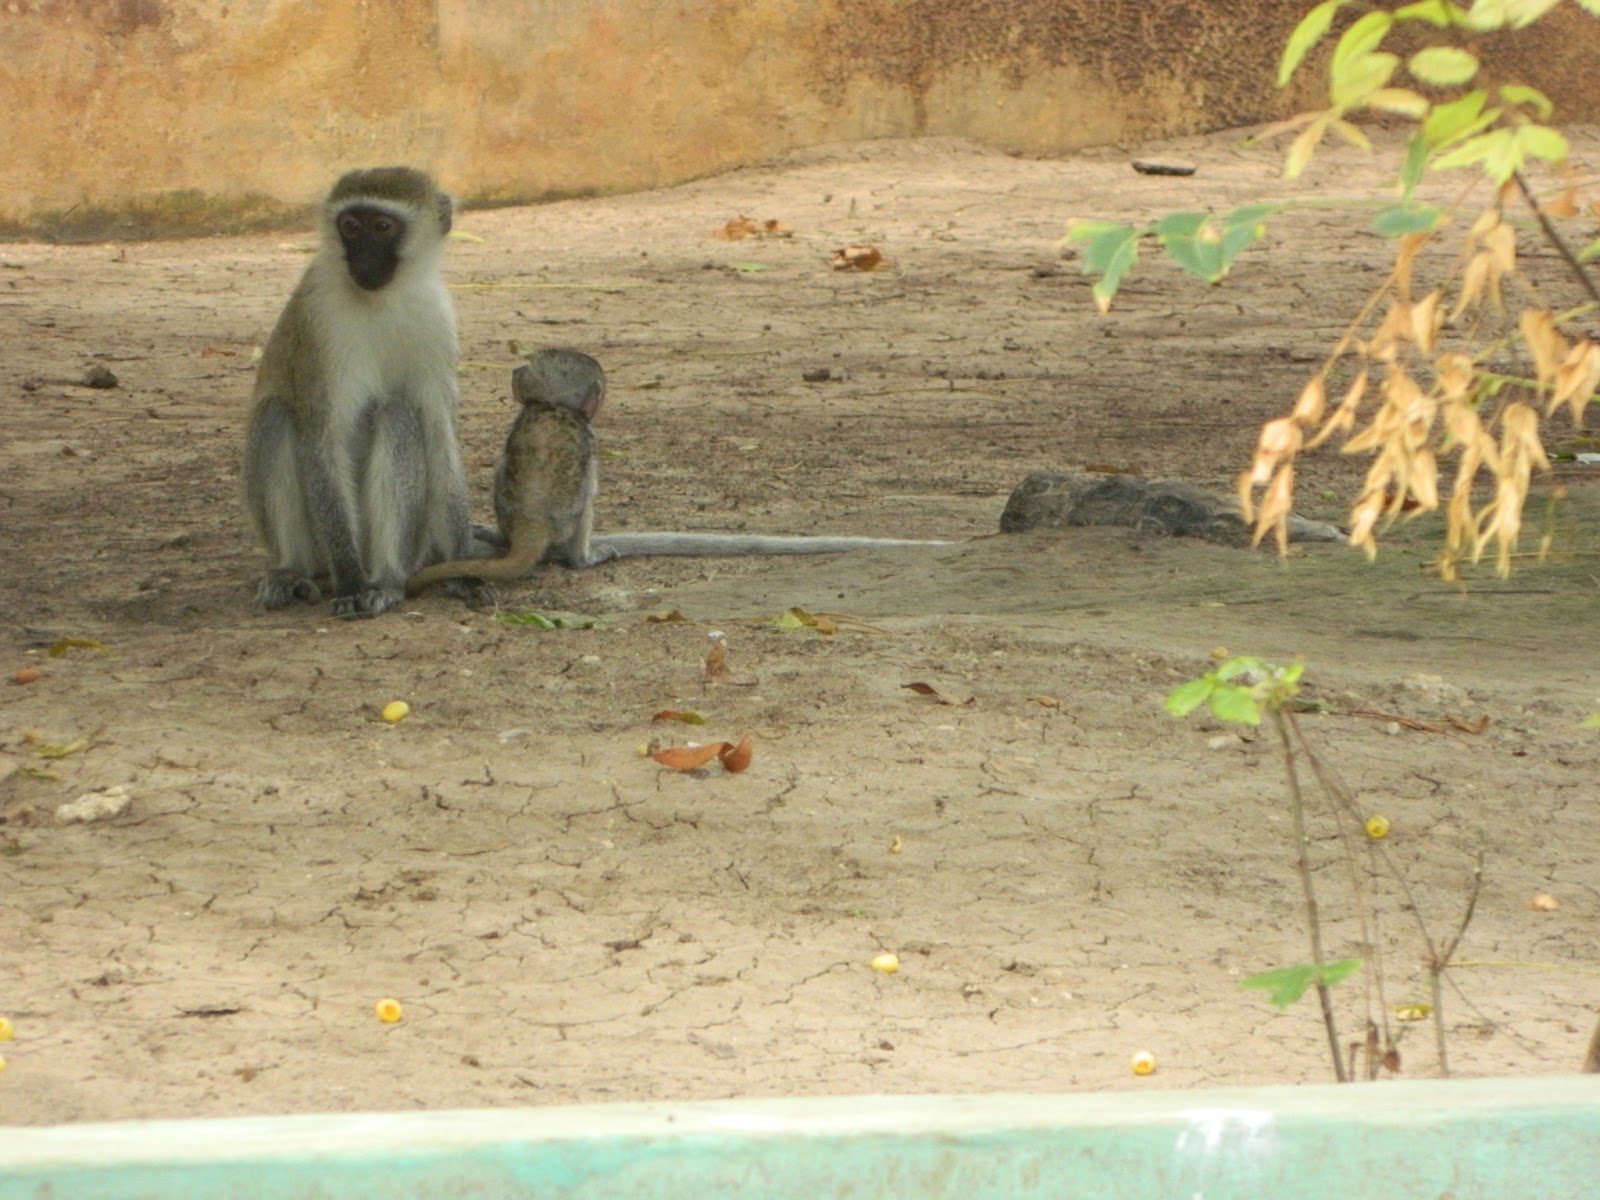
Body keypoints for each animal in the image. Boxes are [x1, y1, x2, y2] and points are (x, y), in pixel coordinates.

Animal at [243, 166, 494, 618]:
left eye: (382, 227)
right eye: (351, 227)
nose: (363, 260)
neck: (384, 300)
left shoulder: (437, 322)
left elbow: (438, 437)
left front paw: (465, 572)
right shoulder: (319, 318)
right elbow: (321, 438)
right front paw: (350, 582)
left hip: (415, 546)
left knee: (397, 412)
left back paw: (388, 581)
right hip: (314, 548)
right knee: (277, 415)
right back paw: (294, 572)